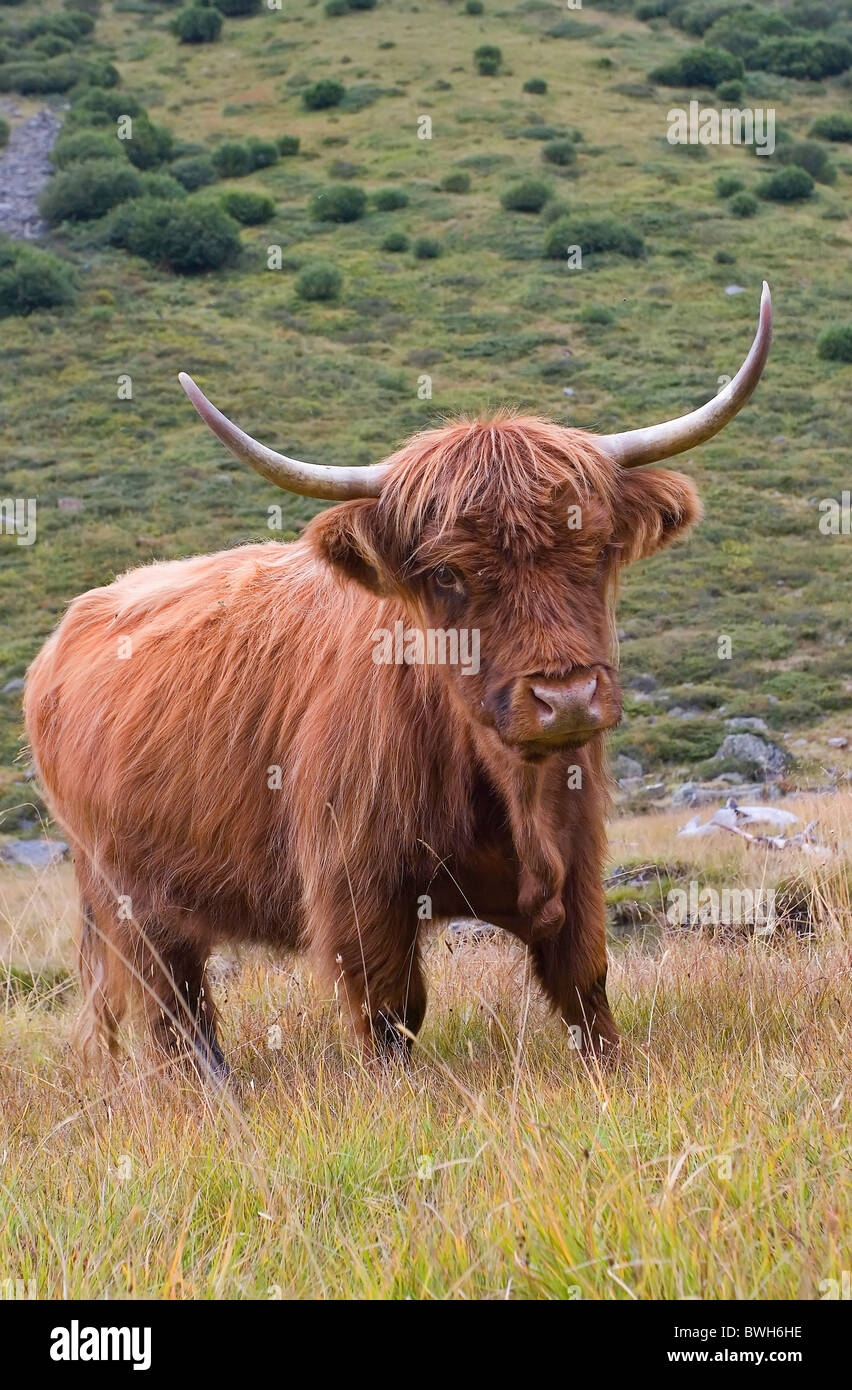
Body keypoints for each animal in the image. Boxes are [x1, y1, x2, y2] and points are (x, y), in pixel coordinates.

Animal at [23, 286, 772, 1081]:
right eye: (448, 574)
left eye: (597, 549)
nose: (566, 699)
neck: (510, 788)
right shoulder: (359, 886)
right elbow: (391, 1011)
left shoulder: (578, 859)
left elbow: (585, 982)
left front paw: (611, 1069)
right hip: (126, 894)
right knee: (174, 1011)